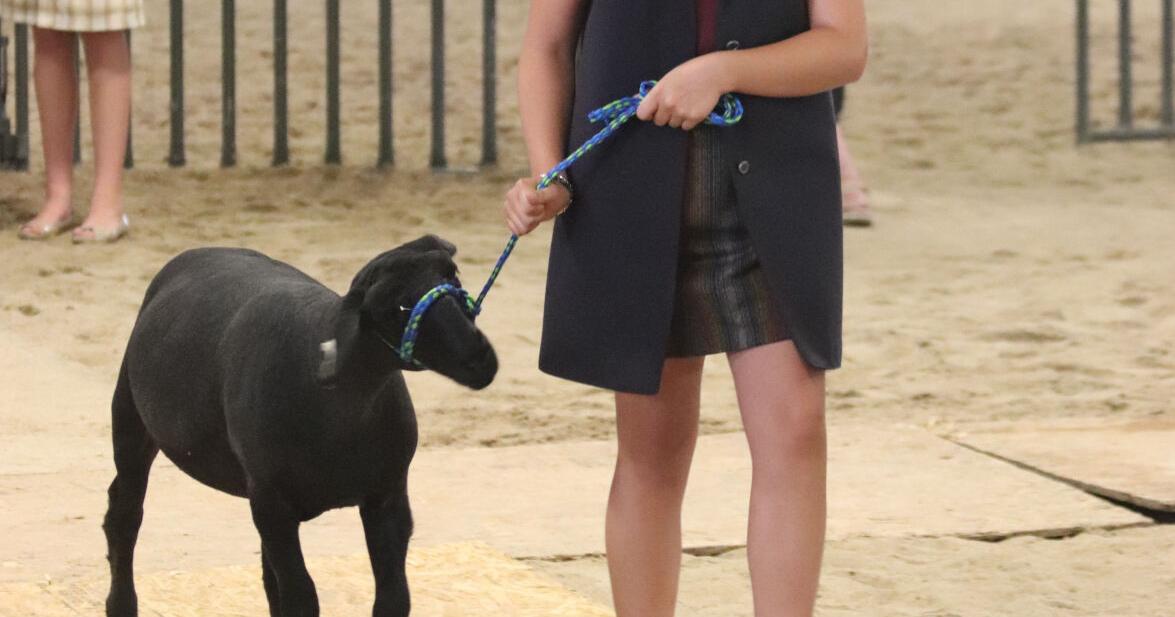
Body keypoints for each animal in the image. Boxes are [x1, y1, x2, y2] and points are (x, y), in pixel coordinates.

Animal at [102, 235, 498, 617]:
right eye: (400, 305)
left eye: (453, 278)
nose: (480, 357)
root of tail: (205, 249)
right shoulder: (272, 503)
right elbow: (301, 597)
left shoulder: (387, 495)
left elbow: (392, 598)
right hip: (131, 421)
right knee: (124, 517)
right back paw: (120, 604)